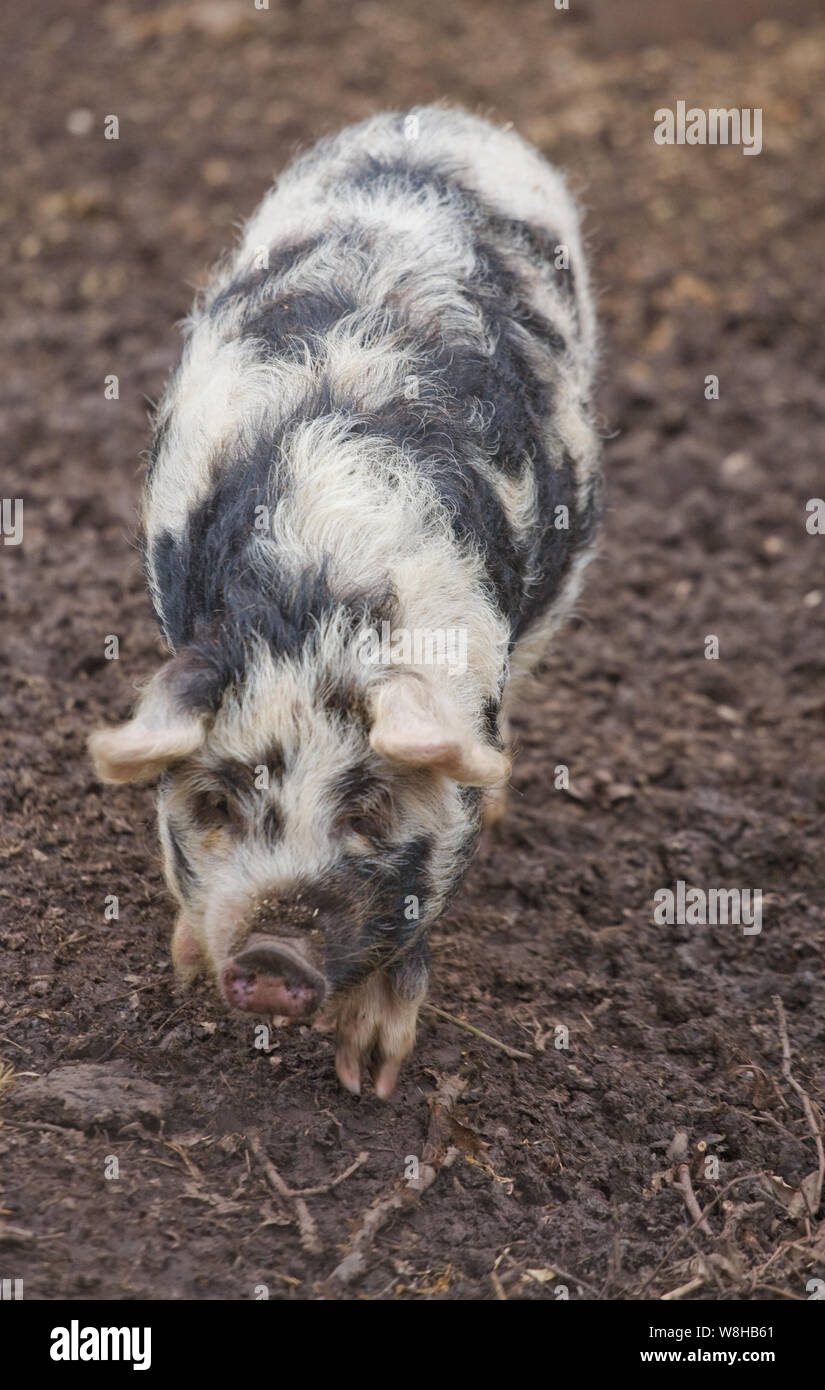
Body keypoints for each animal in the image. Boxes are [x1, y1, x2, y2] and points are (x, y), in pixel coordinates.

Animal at [88, 105, 601, 1098]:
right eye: (214, 804)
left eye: (368, 812)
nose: (271, 960)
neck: (320, 591)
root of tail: (440, 116)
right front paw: (183, 966)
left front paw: (369, 1079)